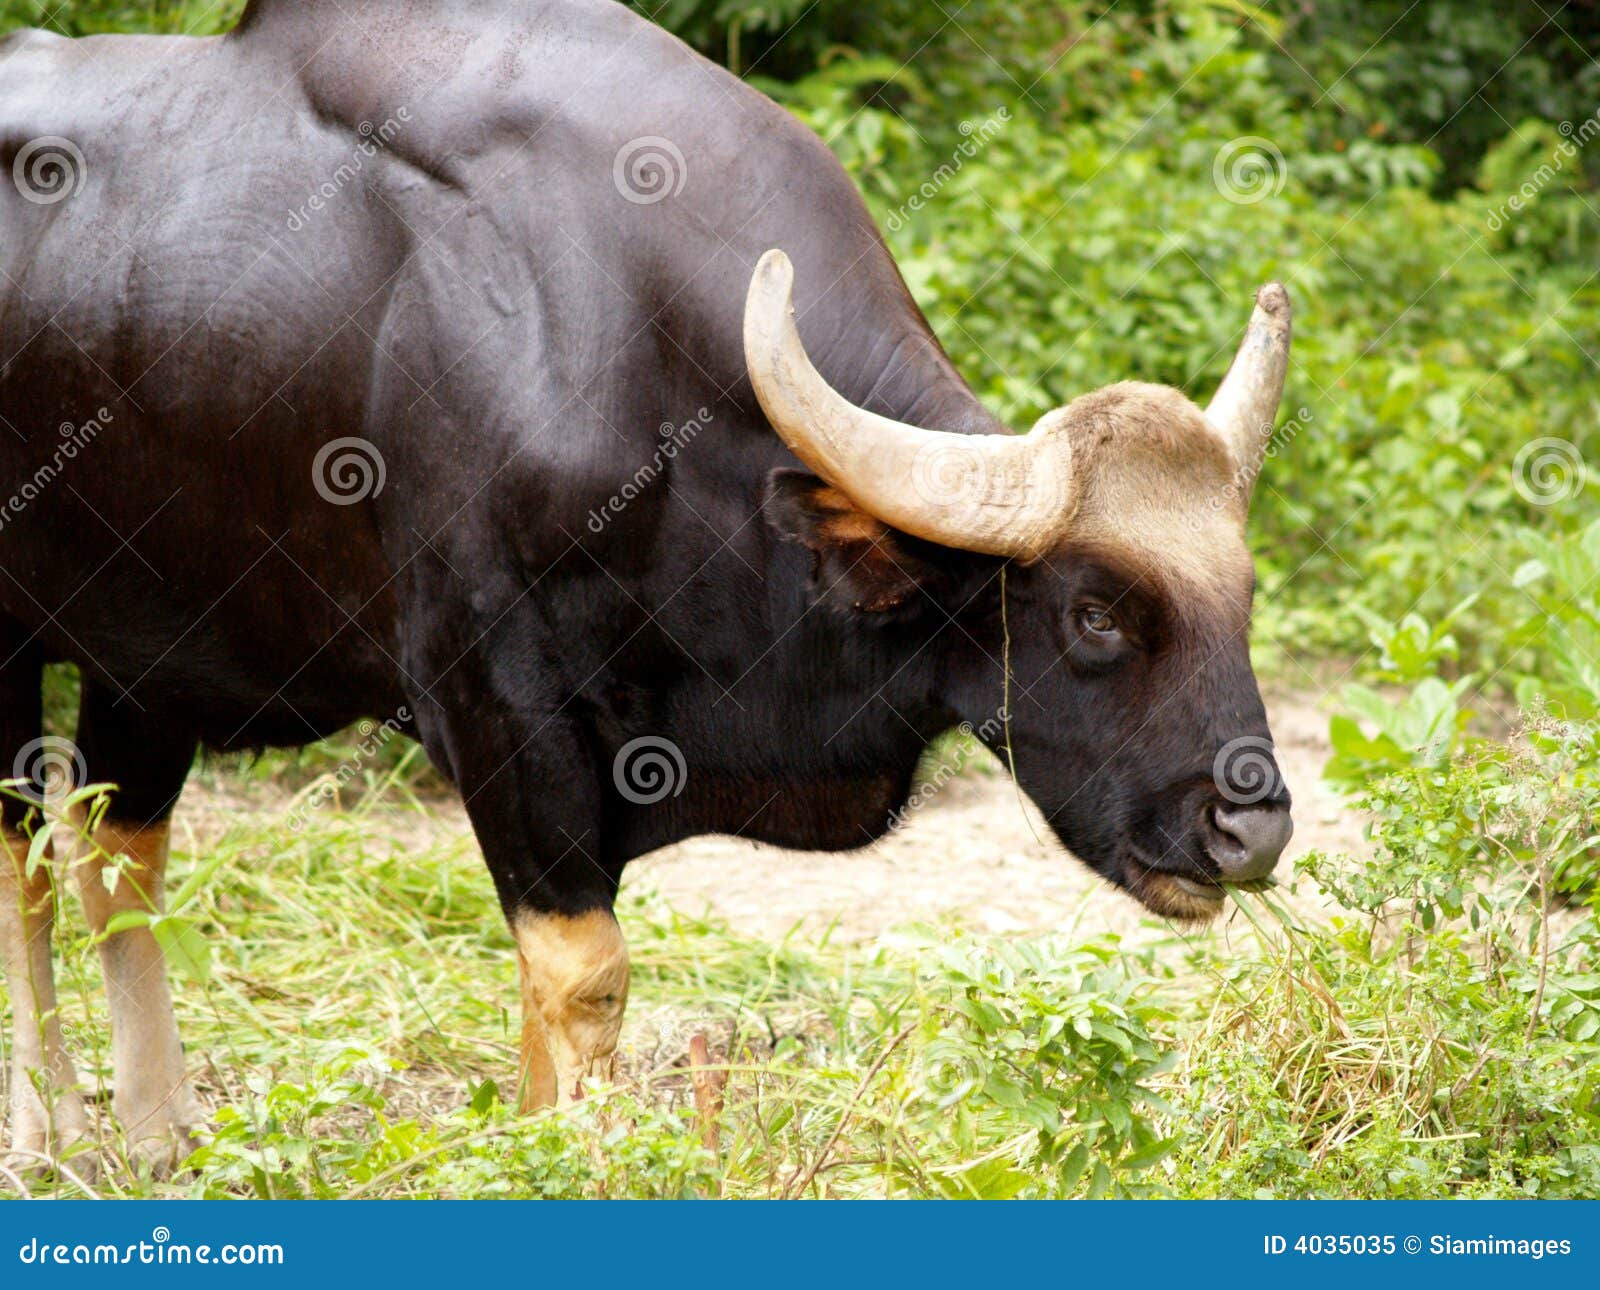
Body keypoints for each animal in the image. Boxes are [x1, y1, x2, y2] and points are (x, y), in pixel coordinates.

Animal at [0, 0, 1293, 1176]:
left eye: (1243, 597)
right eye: (1095, 613)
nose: (1252, 827)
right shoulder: (499, 711)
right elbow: (584, 977)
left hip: (147, 656)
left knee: (116, 849)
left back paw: (160, 1133)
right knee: (24, 859)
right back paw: (51, 1129)